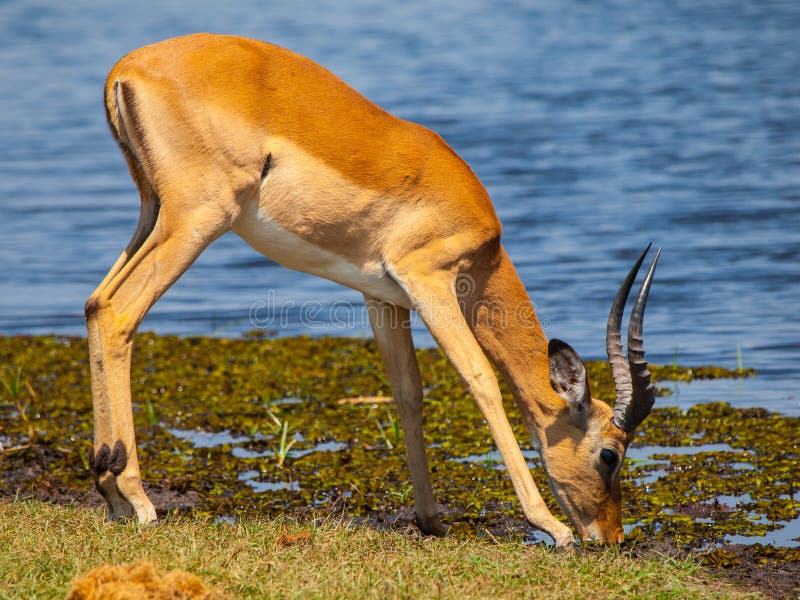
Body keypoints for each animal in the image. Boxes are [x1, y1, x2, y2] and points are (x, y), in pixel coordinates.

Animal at [85, 33, 660, 546]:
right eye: (610, 453)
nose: (609, 537)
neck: (482, 241)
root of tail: (127, 67)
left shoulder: (383, 299)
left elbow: (408, 391)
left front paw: (431, 520)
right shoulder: (429, 281)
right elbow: (480, 379)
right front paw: (551, 527)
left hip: (153, 213)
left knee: (95, 304)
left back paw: (110, 490)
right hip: (199, 219)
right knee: (119, 312)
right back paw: (137, 500)